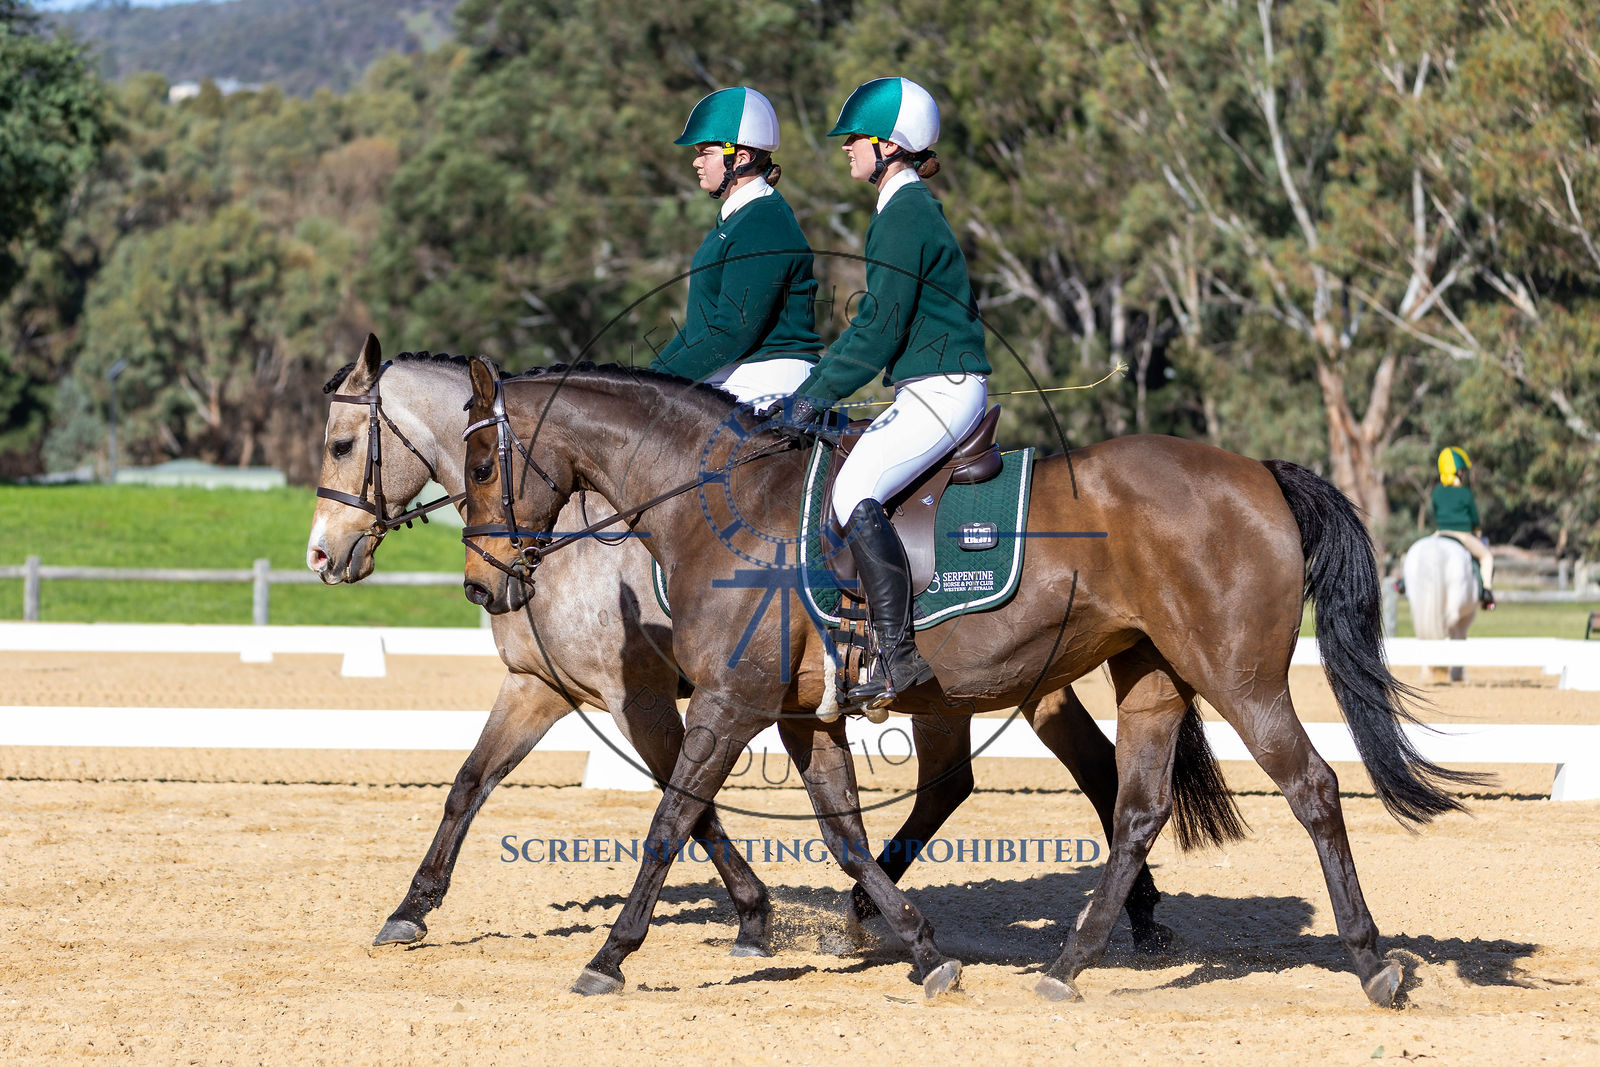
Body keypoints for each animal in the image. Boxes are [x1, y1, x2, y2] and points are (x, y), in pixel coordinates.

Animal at [305, 335, 1194, 954]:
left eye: (343, 445)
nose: (320, 555)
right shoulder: (540, 685)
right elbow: (468, 783)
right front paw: (411, 908)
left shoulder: (641, 697)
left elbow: (687, 805)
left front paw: (753, 915)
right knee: (1026, 776)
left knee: (1071, 773)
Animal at [1402, 534, 1479, 683]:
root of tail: (1434, 545)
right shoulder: (1467, 615)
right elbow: (1460, 637)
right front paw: (1459, 674)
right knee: (1446, 629)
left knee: (1424, 633)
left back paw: (1427, 673)